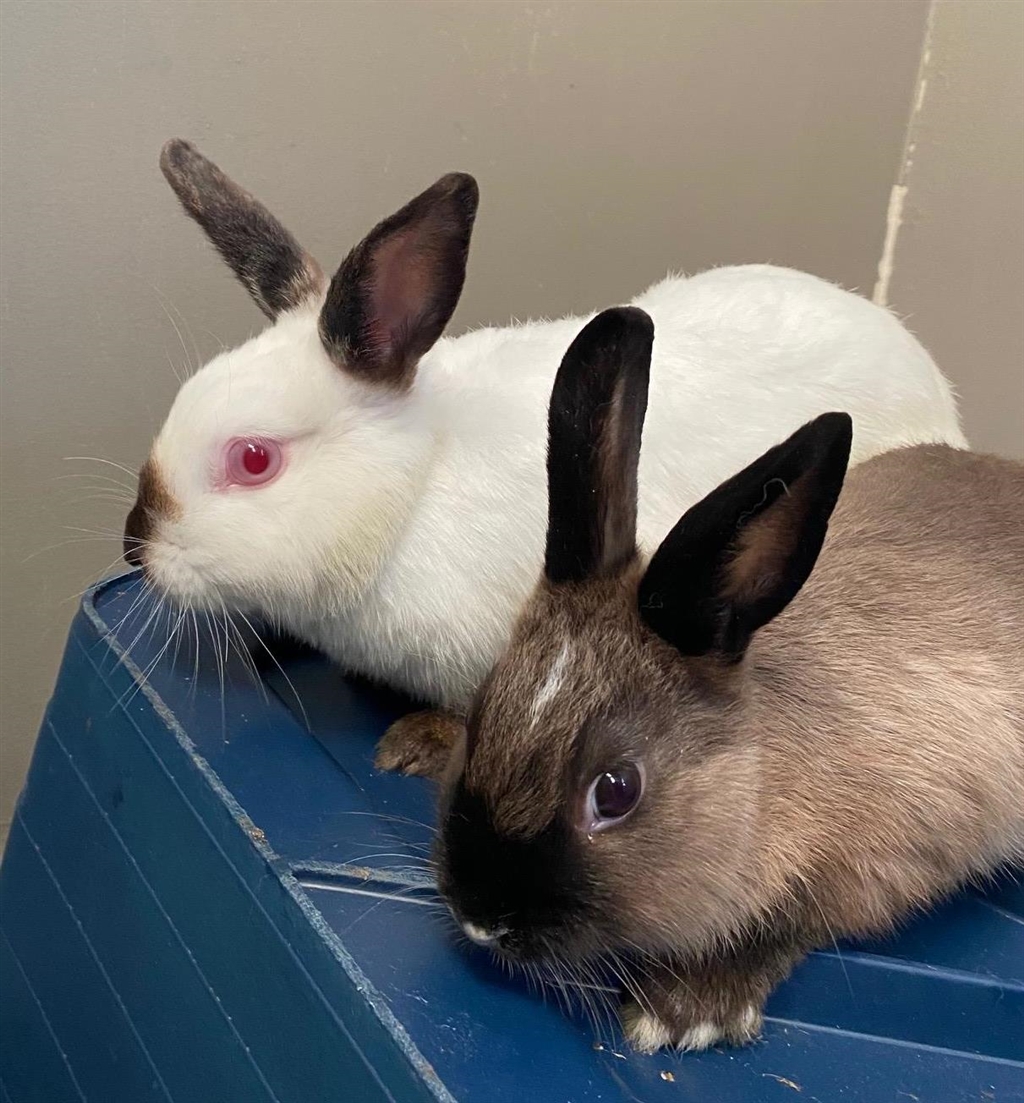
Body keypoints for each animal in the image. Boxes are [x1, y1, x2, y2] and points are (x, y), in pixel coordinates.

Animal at [430, 306, 1023, 1054]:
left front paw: (686, 1010)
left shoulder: (893, 858)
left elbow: (793, 921)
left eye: (616, 790)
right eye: (479, 718)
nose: (479, 916)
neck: (762, 779)